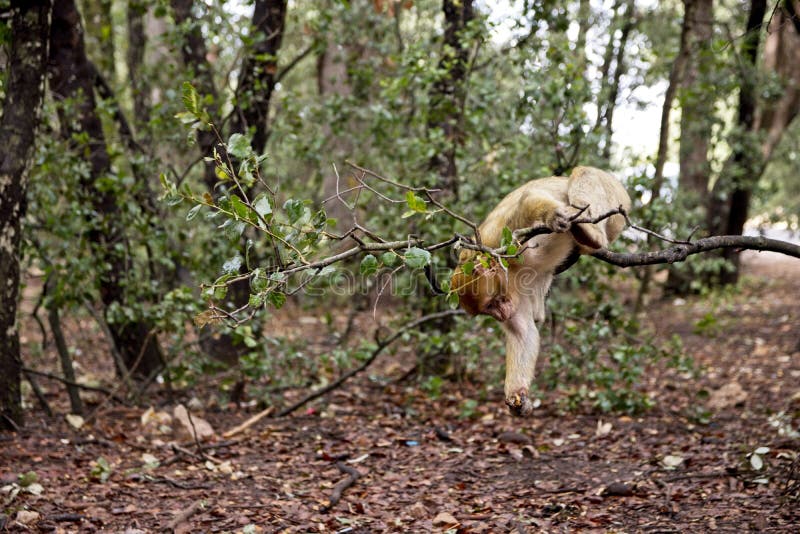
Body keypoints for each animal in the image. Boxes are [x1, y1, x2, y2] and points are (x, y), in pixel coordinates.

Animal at [450, 166, 631, 417]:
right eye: (488, 311)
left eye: (491, 304)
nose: (500, 315)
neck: (510, 273)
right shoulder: (514, 297)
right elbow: (523, 333)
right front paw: (517, 397)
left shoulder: (502, 241)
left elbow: (527, 202)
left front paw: (553, 215)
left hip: (614, 193)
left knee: (583, 172)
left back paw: (590, 235)